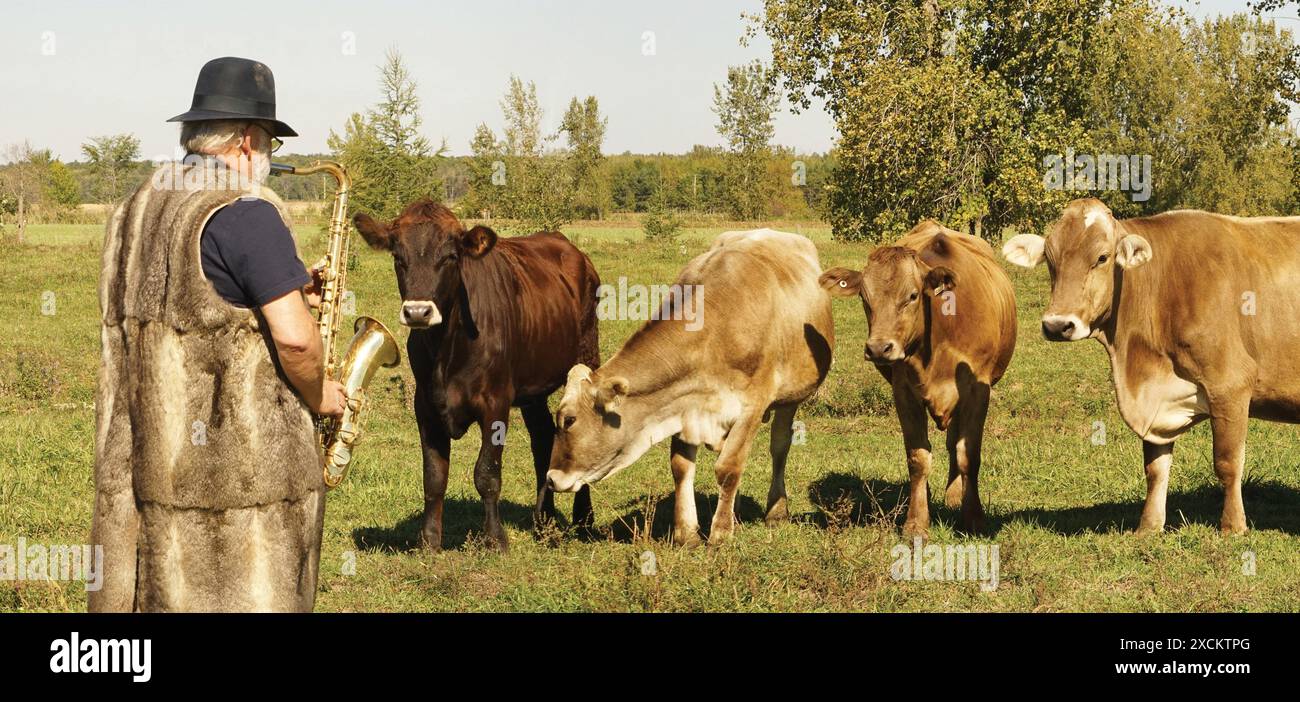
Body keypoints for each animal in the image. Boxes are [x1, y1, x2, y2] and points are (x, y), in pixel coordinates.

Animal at [353, 200, 600, 552]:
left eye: (450, 257)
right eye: (398, 257)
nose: (418, 312)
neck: (446, 348)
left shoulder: (495, 402)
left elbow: (487, 473)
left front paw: (495, 539)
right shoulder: (425, 406)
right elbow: (434, 477)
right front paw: (429, 541)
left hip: (587, 357)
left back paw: (584, 520)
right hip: (533, 388)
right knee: (542, 439)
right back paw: (544, 521)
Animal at [544, 229, 834, 546]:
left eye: (569, 420)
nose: (551, 478)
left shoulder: (752, 405)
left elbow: (729, 468)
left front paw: (720, 533)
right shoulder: (683, 404)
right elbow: (681, 467)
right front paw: (687, 533)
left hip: (789, 399)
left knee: (779, 447)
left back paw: (776, 511)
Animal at [821, 221, 1017, 536]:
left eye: (912, 296)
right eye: (865, 298)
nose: (879, 348)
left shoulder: (978, 390)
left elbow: (967, 453)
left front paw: (974, 517)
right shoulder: (904, 392)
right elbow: (918, 458)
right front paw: (916, 522)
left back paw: (954, 495)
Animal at [1002, 197, 1300, 535]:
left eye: (1102, 257)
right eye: (1050, 260)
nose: (1057, 325)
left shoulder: (1230, 384)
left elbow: (1228, 462)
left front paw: (1233, 526)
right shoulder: (1153, 394)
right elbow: (1155, 468)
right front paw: (1148, 527)